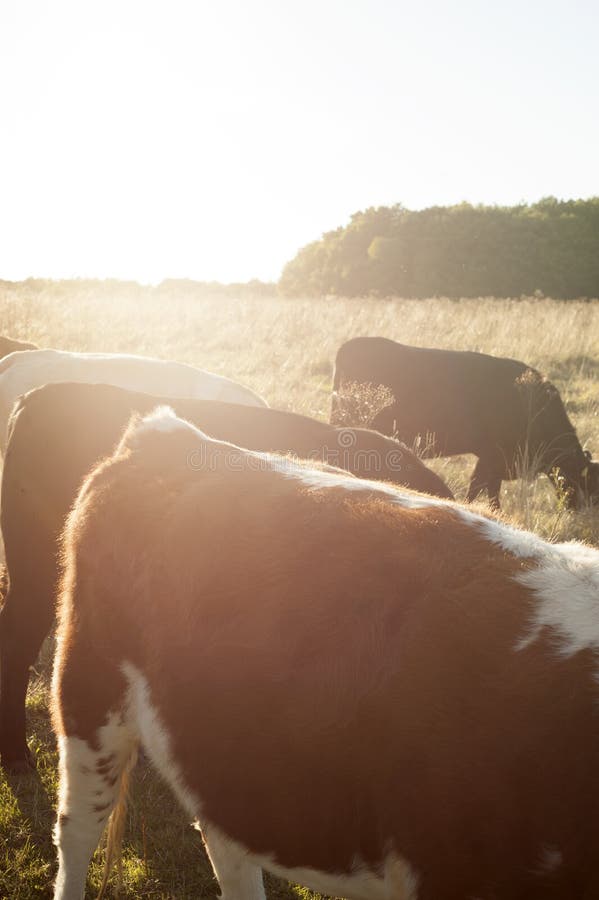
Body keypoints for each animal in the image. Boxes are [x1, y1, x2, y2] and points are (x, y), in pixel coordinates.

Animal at [331, 336, 599, 509]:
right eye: (587, 483)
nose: (578, 510)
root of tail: (348, 347)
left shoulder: (492, 463)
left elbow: (487, 491)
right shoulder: (492, 459)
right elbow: (480, 490)